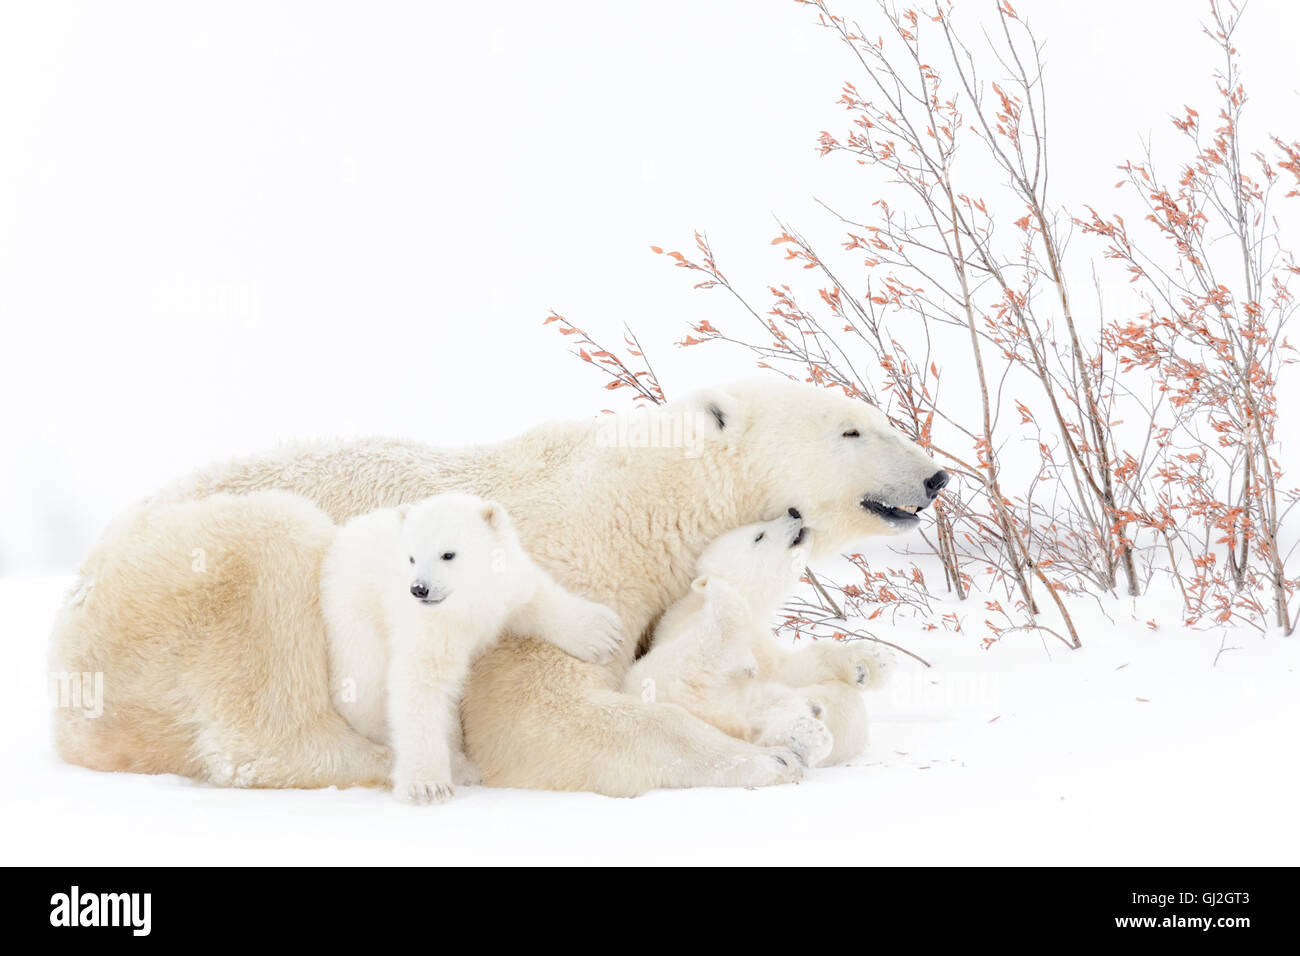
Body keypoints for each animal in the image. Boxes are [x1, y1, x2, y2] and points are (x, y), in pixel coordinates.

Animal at [321, 492, 623, 804]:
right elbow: (420, 688)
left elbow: (536, 597)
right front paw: (427, 786)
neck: (466, 604)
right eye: (411, 557)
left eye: (448, 554)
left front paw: (603, 634)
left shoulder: (505, 583)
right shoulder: (428, 626)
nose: (419, 588)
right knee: (366, 695)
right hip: (356, 623)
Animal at [624, 509, 890, 769]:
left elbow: (790, 669)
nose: (794, 512)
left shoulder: (763, 647)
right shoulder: (682, 635)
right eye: (758, 536)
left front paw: (873, 662)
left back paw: (805, 733)